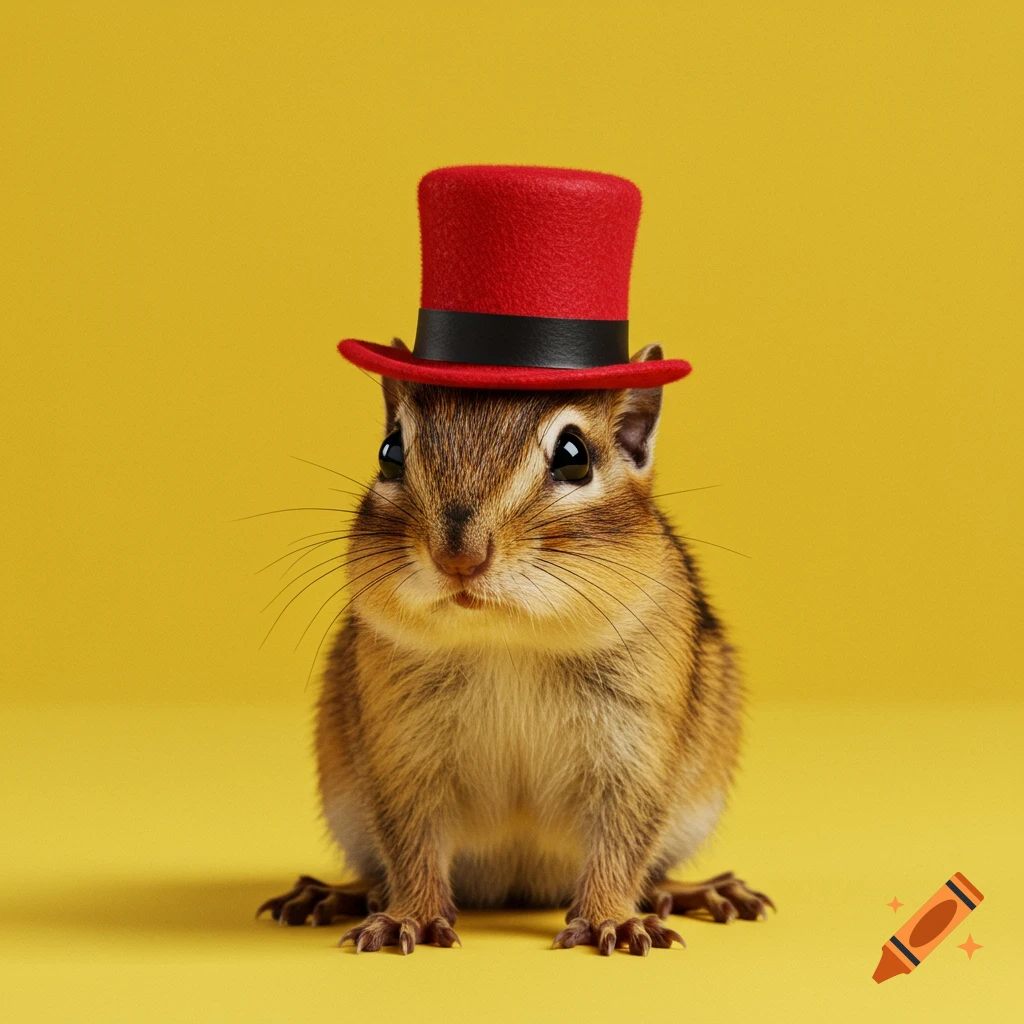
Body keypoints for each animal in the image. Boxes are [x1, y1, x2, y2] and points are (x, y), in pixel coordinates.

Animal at [258, 340, 773, 955]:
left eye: (574, 456)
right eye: (390, 452)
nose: (459, 556)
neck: (507, 642)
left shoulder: (635, 743)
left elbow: (622, 841)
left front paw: (611, 918)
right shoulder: (400, 744)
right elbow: (410, 841)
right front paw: (409, 915)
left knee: (653, 871)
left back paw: (697, 890)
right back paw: (340, 894)